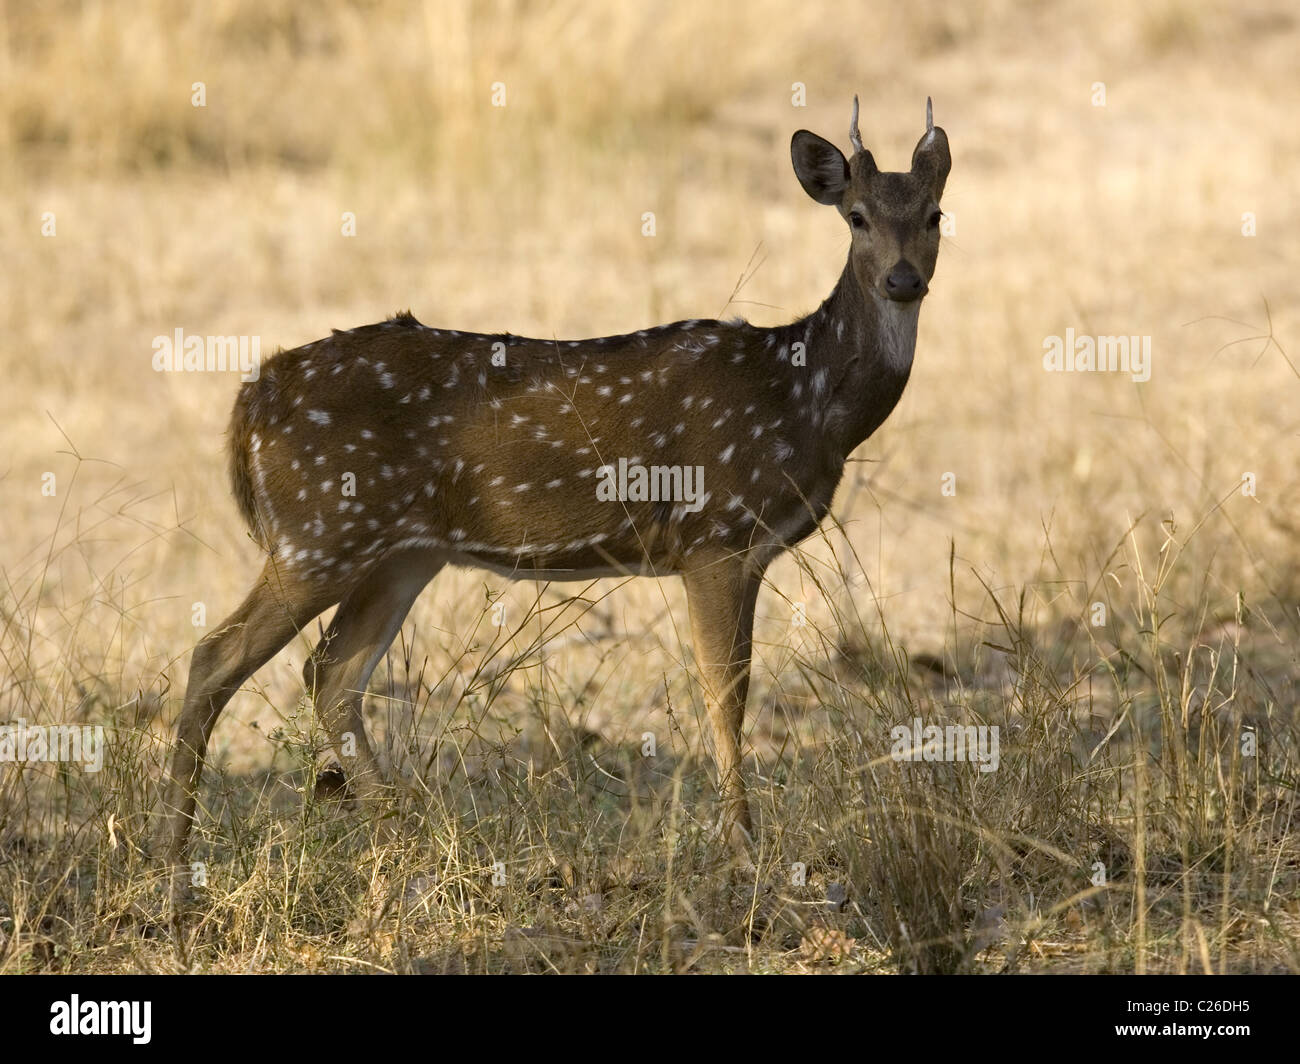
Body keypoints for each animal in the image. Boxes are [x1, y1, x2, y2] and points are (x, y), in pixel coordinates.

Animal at [159, 97, 951, 883]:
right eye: (856, 216)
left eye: (935, 213)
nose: (903, 280)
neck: (805, 397)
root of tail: (251, 397)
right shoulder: (713, 534)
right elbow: (725, 692)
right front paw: (741, 847)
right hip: (320, 530)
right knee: (215, 657)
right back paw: (173, 856)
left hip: (400, 553)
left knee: (332, 671)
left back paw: (404, 838)